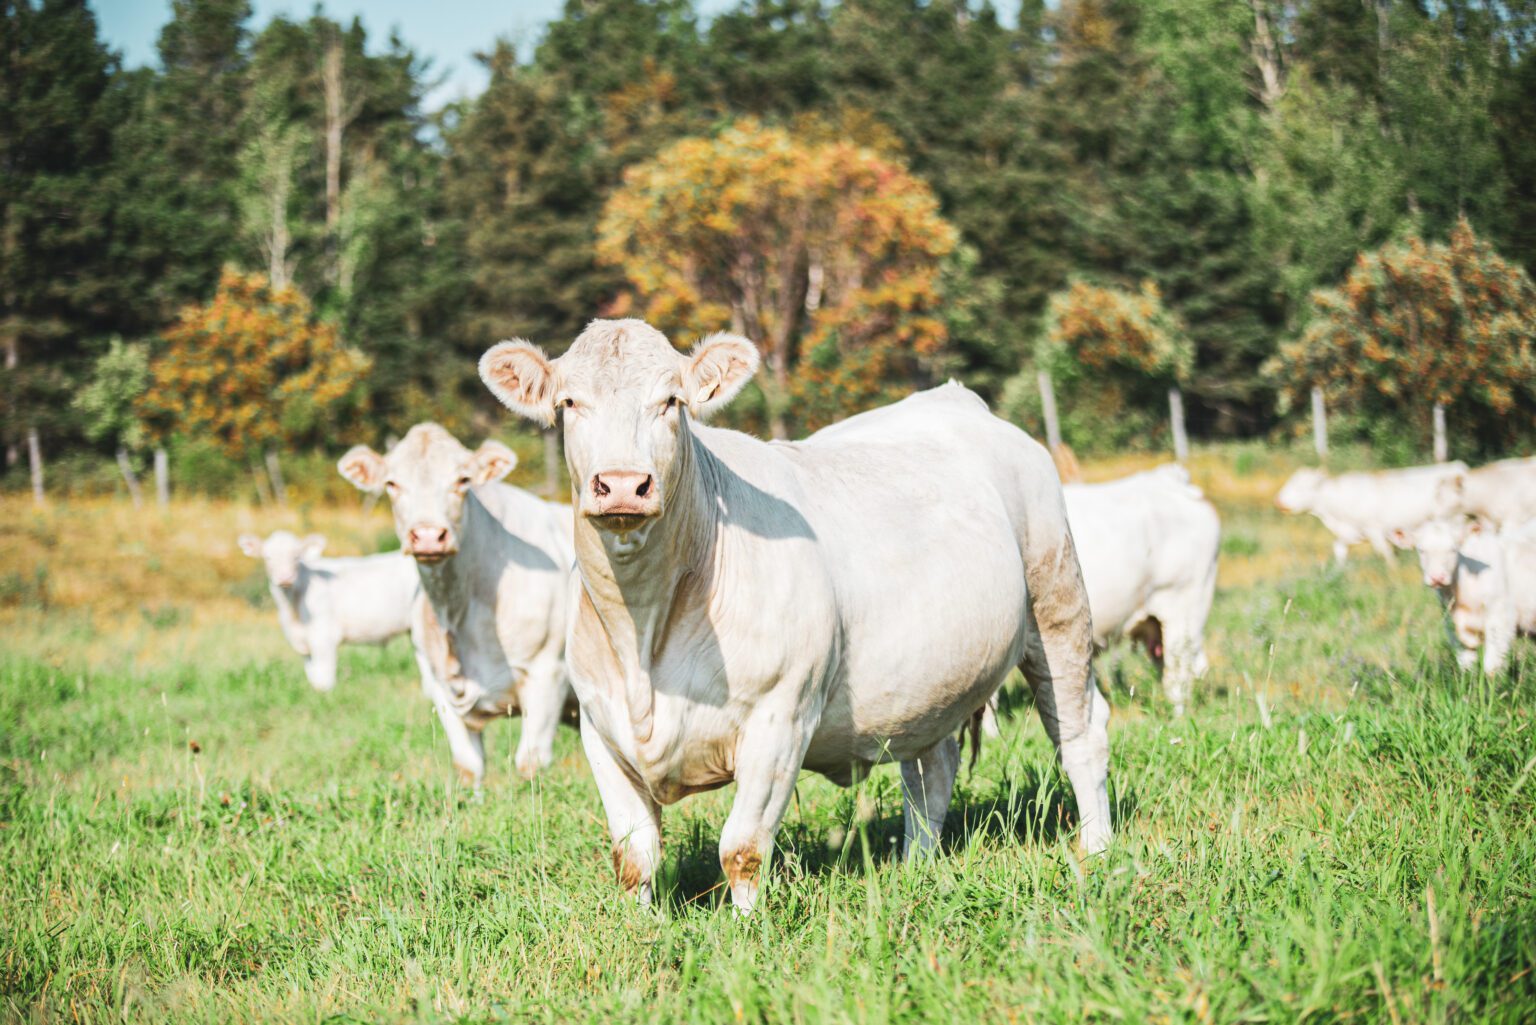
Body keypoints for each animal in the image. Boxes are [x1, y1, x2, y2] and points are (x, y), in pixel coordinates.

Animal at [238, 530, 430, 693]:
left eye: (296, 557)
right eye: (268, 557)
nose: (285, 578)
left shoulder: (324, 637)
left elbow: (324, 681)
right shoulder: (304, 645)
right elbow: (314, 678)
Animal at [337, 425, 575, 784]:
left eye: (463, 480)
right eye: (391, 483)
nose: (428, 535)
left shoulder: (548, 673)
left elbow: (530, 762)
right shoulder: (439, 686)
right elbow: (468, 765)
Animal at [479, 318, 1111, 914]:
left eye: (672, 401)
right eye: (568, 403)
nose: (622, 485)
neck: (645, 638)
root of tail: (955, 399)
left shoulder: (780, 716)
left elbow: (741, 848)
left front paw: (744, 931)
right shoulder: (600, 726)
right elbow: (634, 857)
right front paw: (641, 929)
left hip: (1058, 604)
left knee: (1081, 731)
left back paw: (1097, 851)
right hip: (929, 680)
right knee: (931, 767)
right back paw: (917, 865)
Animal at [1275, 462, 1468, 564]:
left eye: (1300, 487)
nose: (1278, 501)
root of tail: (1457, 466)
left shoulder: (1376, 531)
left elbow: (1386, 554)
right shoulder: (1350, 533)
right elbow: (1339, 549)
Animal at [1389, 517, 1536, 675]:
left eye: (1453, 549)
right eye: (1421, 550)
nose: (1437, 577)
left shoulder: (1501, 619)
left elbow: (1491, 665)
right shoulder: (1452, 626)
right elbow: (1466, 665)